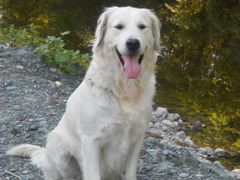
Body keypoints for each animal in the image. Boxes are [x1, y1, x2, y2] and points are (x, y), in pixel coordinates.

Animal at [7, 6, 161, 180]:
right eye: (118, 27)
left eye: (142, 27)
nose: (133, 43)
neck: (123, 90)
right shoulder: (91, 141)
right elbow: (93, 173)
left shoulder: (137, 139)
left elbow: (130, 173)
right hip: (58, 148)